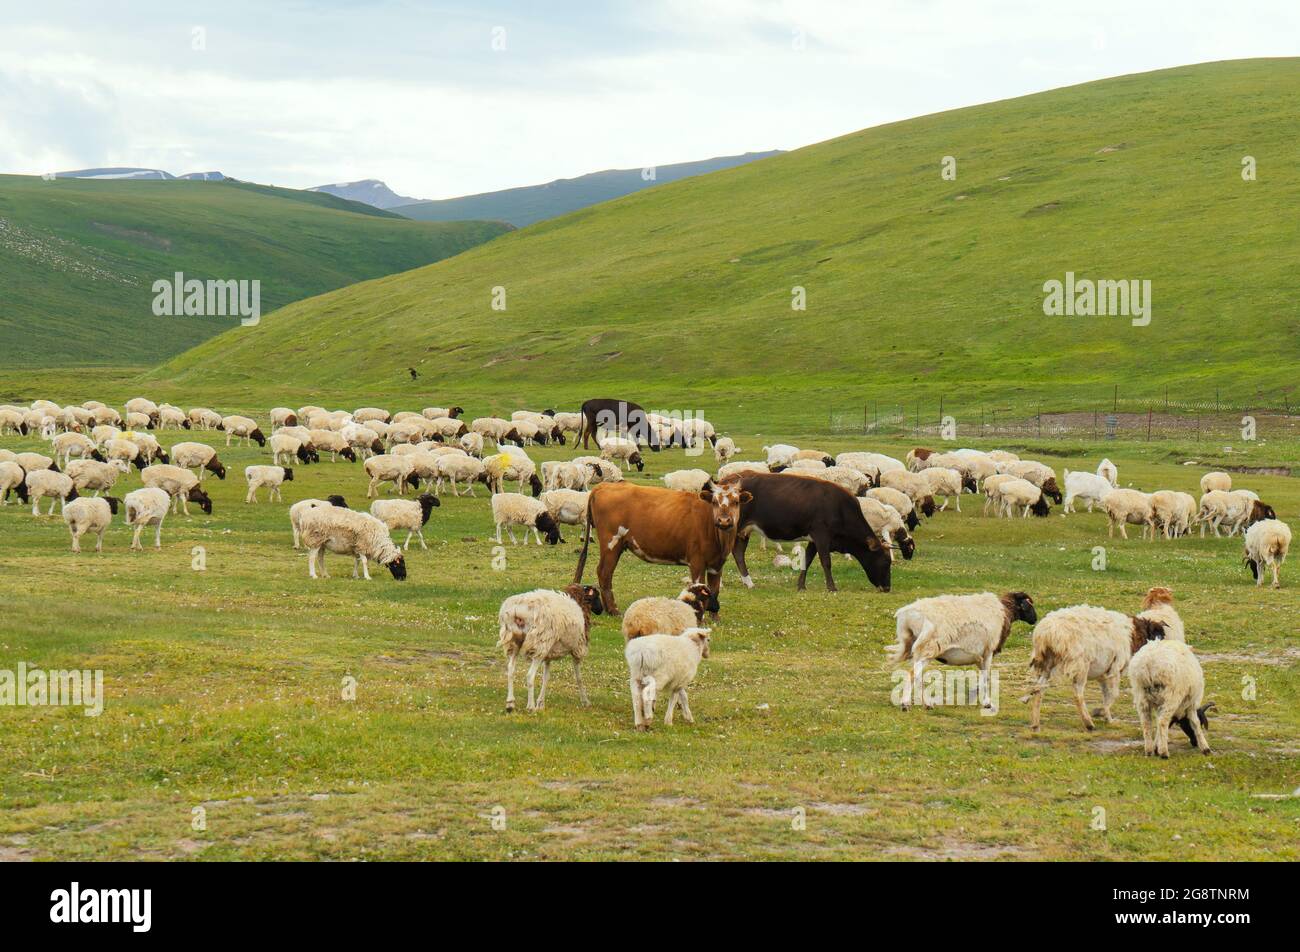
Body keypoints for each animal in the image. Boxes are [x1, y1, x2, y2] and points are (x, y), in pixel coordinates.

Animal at [498, 584, 603, 713]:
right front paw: (585, 701)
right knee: (530, 675)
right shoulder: (577, 648)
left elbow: (546, 677)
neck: (580, 601)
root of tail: (518, 611)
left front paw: (541, 703)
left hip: (514, 642)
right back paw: (530, 706)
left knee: (510, 670)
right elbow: (579, 677)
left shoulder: (548, 654)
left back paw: (510, 703)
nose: (601, 610)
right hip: (539, 645)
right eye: (597, 595)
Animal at [888, 592, 1037, 711]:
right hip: (929, 646)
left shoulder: (979, 656)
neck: (1005, 612)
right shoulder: (988, 651)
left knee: (917, 675)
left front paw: (976, 696)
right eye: (1029, 604)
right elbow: (987, 677)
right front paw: (987, 703)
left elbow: (982, 676)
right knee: (913, 674)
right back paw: (905, 704)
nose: (1035, 620)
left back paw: (927, 704)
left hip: (920, 648)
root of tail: (906, 615)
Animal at [1023, 604, 1169, 731]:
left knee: (1039, 689)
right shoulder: (1114, 669)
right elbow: (1113, 695)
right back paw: (1089, 723)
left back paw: (1035, 724)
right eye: (1159, 636)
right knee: (1077, 694)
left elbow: (1106, 695)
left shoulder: (1103, 673)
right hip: (1078, 665)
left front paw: (1107, 717)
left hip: (1046, 665)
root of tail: (1046, 634)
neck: (1134, 634)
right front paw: (1100, 713)